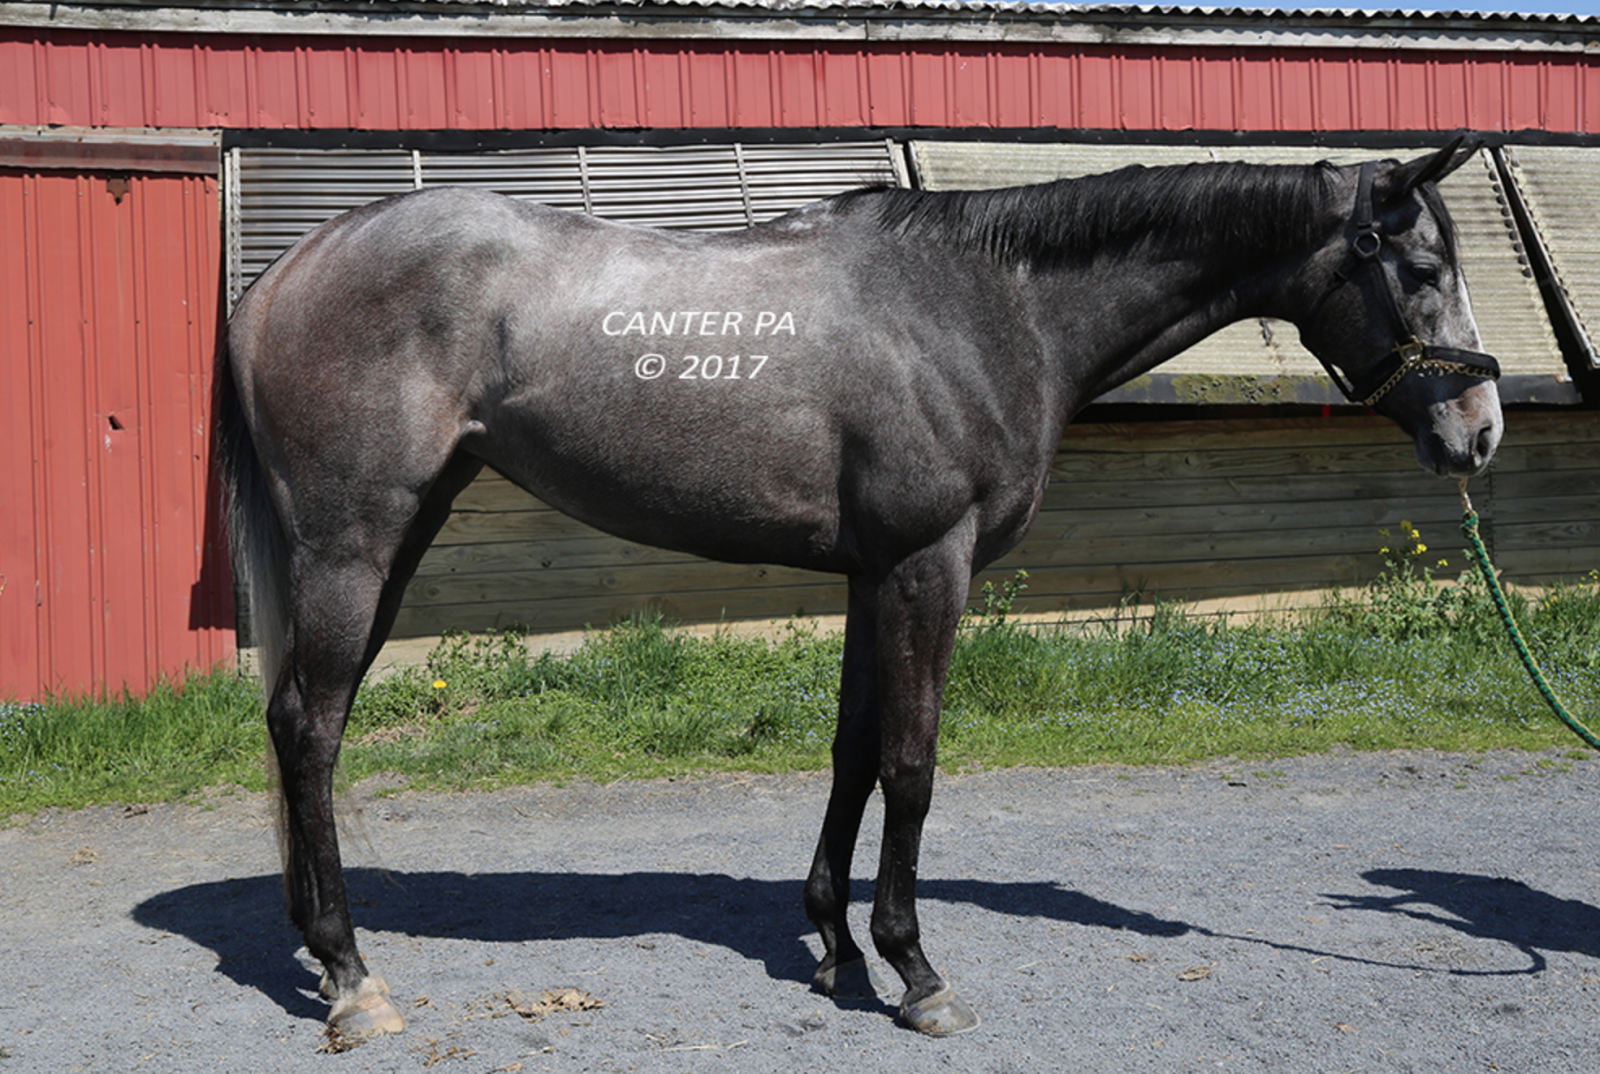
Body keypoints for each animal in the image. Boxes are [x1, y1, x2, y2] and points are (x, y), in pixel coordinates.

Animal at [216, 137, 1502, 1038]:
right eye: (1420, 269)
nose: (1478, 431)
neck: (984, 306)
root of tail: (288, 271)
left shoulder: (868, 575)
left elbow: (849, 751)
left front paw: (833, 945)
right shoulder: (930, 564)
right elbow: (912, 764)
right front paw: (916, 970)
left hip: (398, 534)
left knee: (296, 725)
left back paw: (318, 948)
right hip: (355, 542)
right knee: (311, 729)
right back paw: (352, 978)